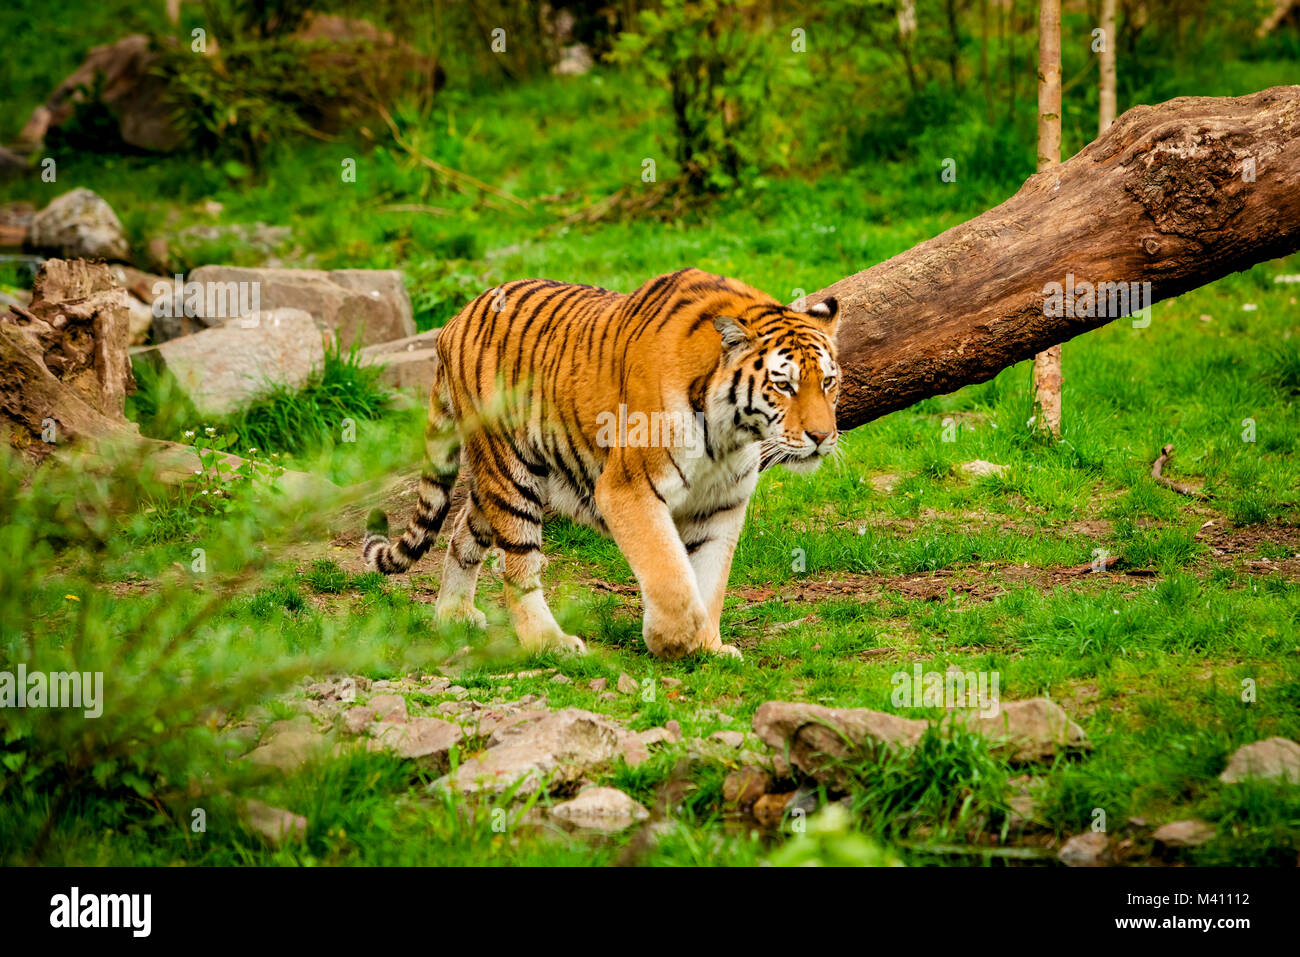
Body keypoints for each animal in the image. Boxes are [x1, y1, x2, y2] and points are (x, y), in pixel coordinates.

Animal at [361, 268, 841, 660]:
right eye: (783, 385)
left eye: (829, 382)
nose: (822, 437)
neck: (731, 433)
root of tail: (454, 321)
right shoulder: (629, 488)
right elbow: (669, 572)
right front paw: (675, 640)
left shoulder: (721, 504)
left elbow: (709, 580)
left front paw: (708, 647)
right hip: (512, 472)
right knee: (518, 568)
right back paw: (549, 643)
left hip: (492, 478)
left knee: (462, 533)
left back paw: (454, 615)